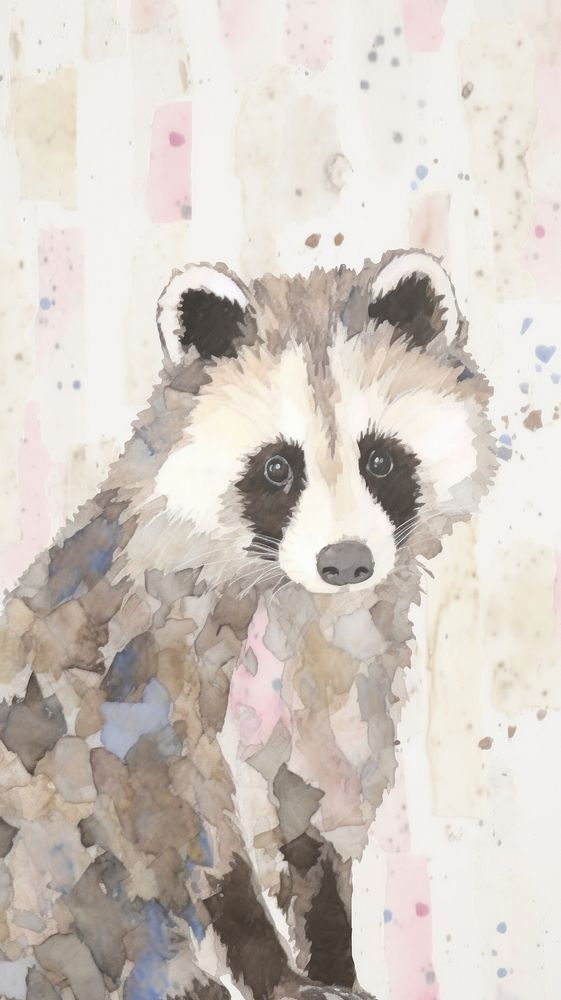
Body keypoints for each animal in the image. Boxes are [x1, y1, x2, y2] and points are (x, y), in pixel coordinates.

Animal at [0, 250, 495, 1000]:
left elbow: (317, 809)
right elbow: (180, 825)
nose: (345, 563)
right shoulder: (147, 670)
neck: (297, 597)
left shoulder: (348, 678)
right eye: (276, 468)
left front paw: (332, 956)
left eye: (380, 459)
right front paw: (268, 964)